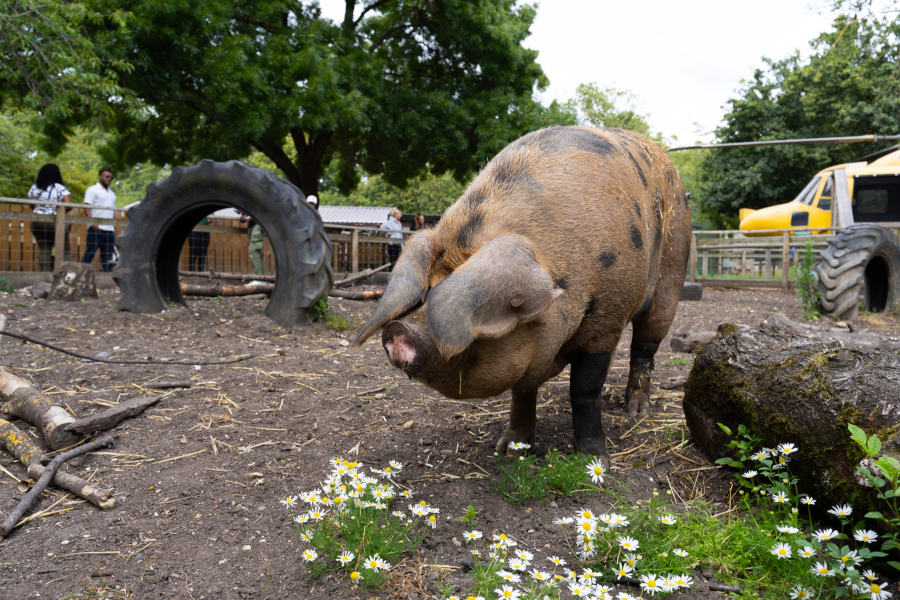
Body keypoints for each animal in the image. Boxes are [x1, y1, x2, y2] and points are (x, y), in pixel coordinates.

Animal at [352, 126, 692, 466]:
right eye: (424, 294)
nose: (398, 330)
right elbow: (523, 392)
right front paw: (508, 450)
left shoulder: (605, 325)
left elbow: (585, 391)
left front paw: (593, 463)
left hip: (672, 271)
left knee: (644, 348)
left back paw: (635, 413)